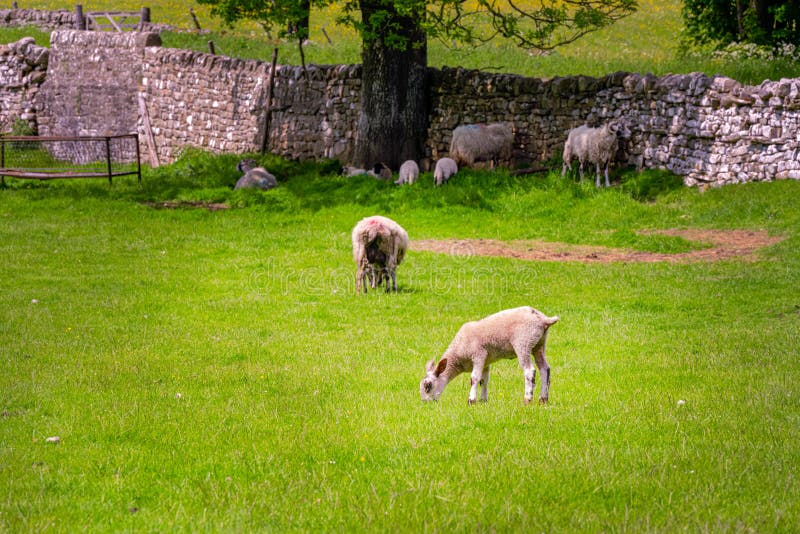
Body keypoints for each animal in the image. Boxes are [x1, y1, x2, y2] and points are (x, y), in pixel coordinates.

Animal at [419, 306, 559, 405]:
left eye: (428, 386)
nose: (425, 403)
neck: (458, 354)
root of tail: (543, 319)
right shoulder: (486, 361)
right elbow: (484, 380)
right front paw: (483, 401)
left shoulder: (478, 354)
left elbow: (474, 378)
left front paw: (471, 401)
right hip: (539, 344)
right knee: (544, 369)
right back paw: (543, 399)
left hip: (523, 343)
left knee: (529, 371)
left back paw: (527, 399)